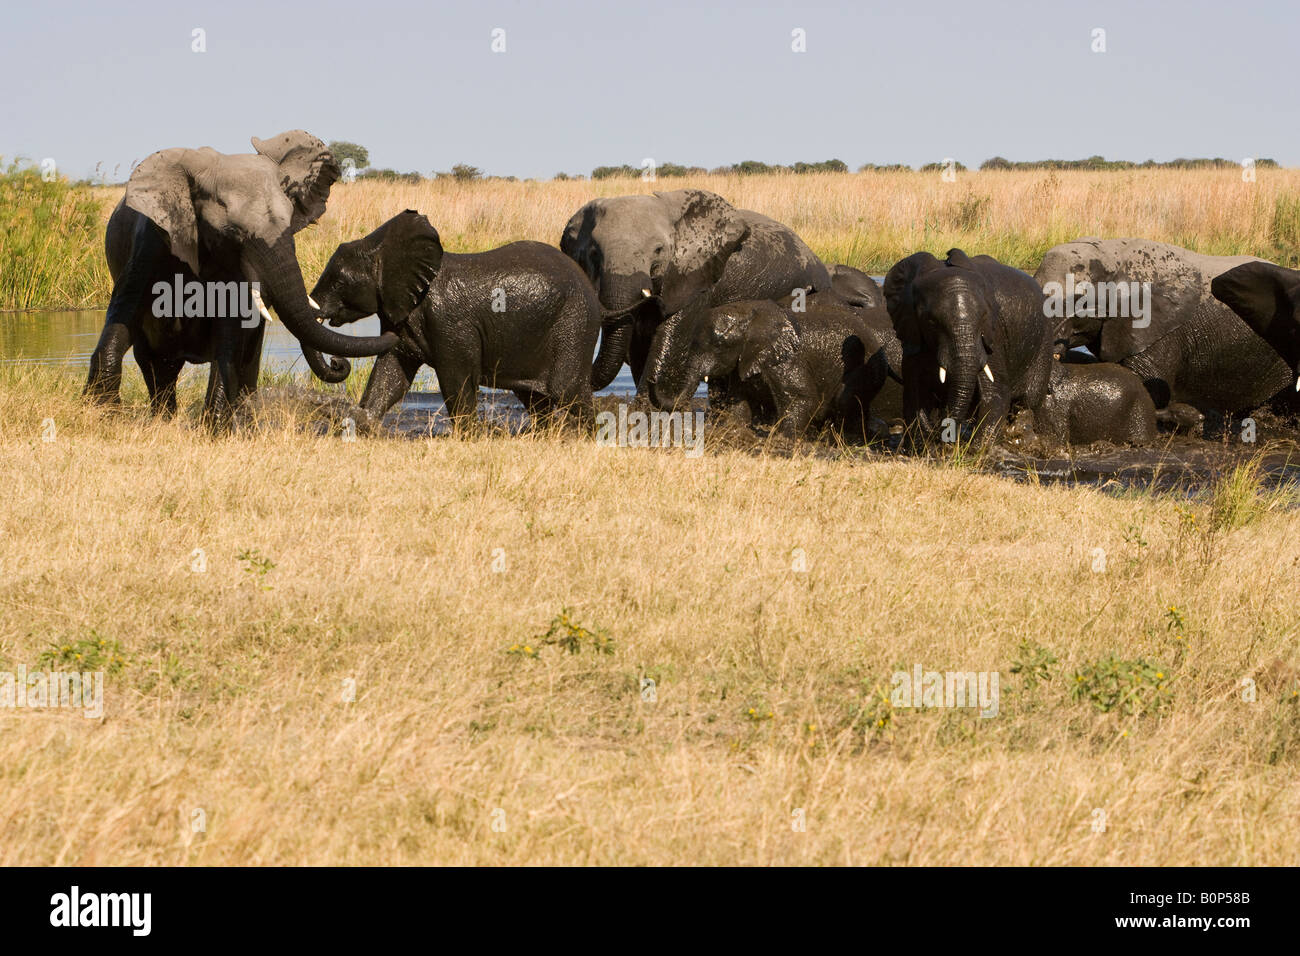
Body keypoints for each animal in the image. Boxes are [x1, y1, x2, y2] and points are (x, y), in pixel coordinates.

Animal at [84, 131, 397, 428]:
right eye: (233, 232)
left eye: (292, 224)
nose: (393, 333)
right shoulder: (151, 242)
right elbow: (123, 314)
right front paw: (102, 414)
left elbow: (231, 334)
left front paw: (216, 426)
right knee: (155, 362)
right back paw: (165, 417)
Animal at [310, 209, 620, 430]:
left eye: (339, 282)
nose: (337, 363)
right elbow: (391, 374)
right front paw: (362, 423)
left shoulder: (448, 321)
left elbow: (456, 381)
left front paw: (467, 437)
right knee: (536, 398)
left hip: (575, 322)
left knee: (566, 390)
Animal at [643, 293, 897, 439]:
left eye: (719, 344)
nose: (652, 379)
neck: (750, 316)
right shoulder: (743, 361)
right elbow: (738, 403)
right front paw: (734, 431)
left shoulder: (786, 360)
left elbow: (802, 397)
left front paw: (779, 439)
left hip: (865, 369)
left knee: (846, 403)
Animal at [884, 249, 1056, 441]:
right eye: (932, 322)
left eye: (983, 317)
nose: (939, 425)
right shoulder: (912, 337)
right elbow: (914, 395)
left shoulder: (992, 338)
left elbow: (996, 394)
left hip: (1044, 343)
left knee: (1028, 402)